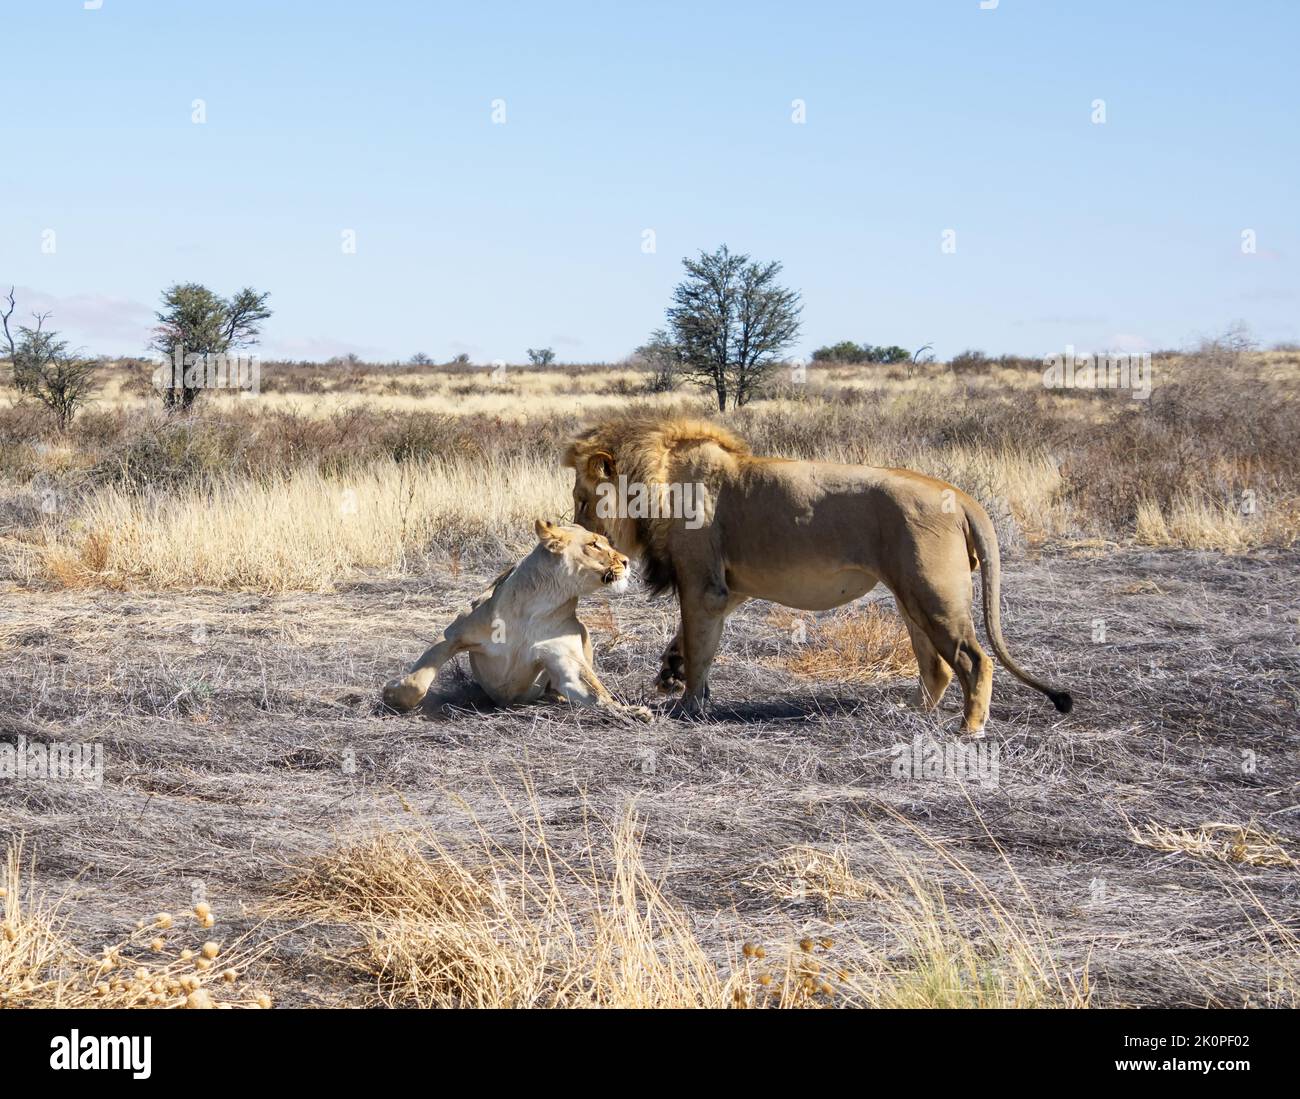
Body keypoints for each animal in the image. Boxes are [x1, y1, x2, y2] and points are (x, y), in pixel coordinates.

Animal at [382, 519, 651, 721]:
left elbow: (598, 693)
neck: (541, 604)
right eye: (594, 544)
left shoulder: (563, 654)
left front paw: (631, 711)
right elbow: (418, 682)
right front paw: (390, 694)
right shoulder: (453, 635)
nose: (627, 562)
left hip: (583, 633)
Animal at [564, 416, 1072, 734]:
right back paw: (911, 711)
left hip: (934, 595)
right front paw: (673, 671)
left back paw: (968, 729)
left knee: (974, 660)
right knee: (938, 666)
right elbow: (691, 642)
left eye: (583, 500)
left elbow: (700, 645)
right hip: (914, 598)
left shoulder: (704, 584)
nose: (581, 532)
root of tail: (959, 494)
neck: (655, 480)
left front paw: (688, 705)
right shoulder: (730, 587)